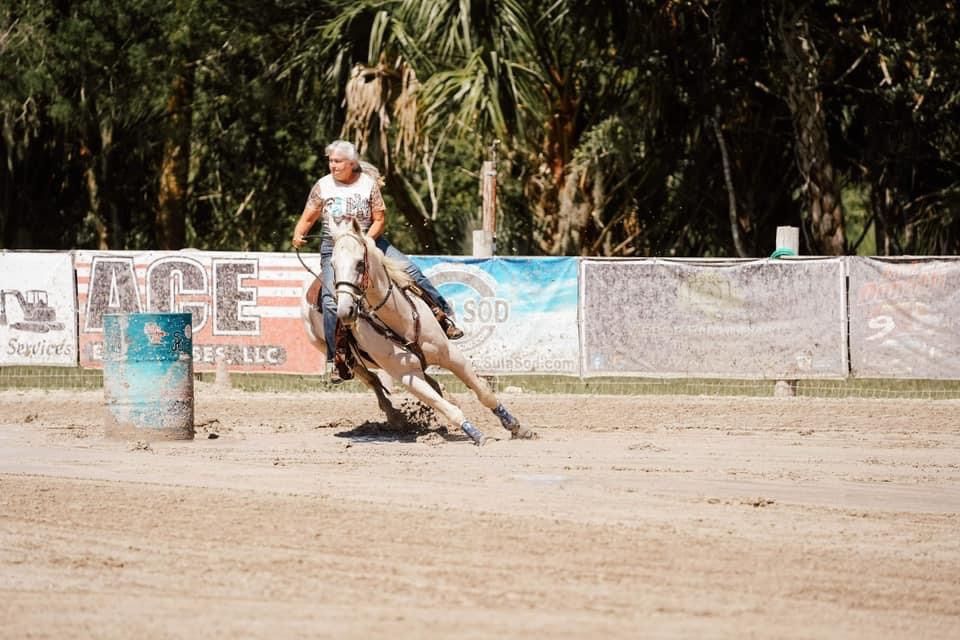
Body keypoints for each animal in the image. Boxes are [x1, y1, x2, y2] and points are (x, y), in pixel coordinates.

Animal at [323, 217, 534, 445]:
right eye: (332, 265)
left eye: (359, 264)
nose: (345, 311)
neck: (401, 319)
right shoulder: (407, 376)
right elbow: (443, 406)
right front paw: (476, 434)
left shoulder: (451, 355)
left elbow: (484, 392)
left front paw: (516, 427)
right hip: (353, 364)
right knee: (374, 382)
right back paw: (397, 419)